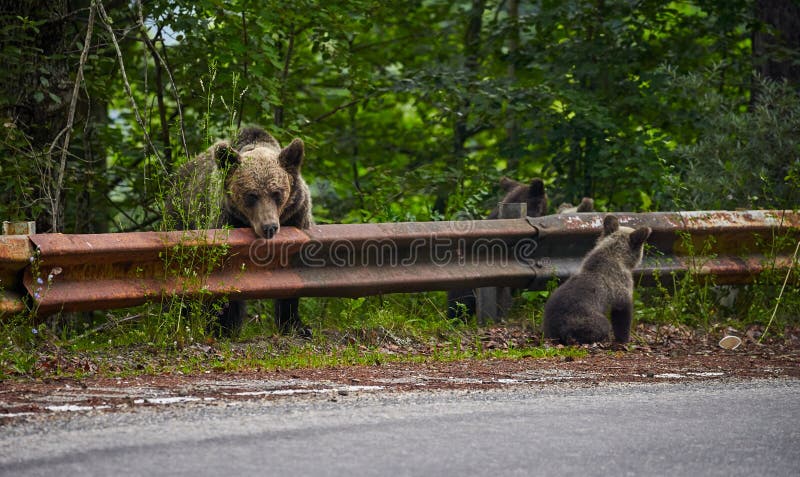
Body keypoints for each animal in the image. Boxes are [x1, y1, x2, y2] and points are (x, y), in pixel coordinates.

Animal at [167, 125, 313, 337]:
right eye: (251, 195)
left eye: (277, 193)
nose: (269, 227)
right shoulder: (226, 219)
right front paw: (223, 327)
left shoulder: (297, 215)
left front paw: (296, 325)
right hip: (181, 216)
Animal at [542, 215, 651, 345]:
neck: (617, 256)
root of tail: (557, 330)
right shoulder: (621, 289)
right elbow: (622, 317)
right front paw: (623, 339)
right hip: (583, 318)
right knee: (601, 326)